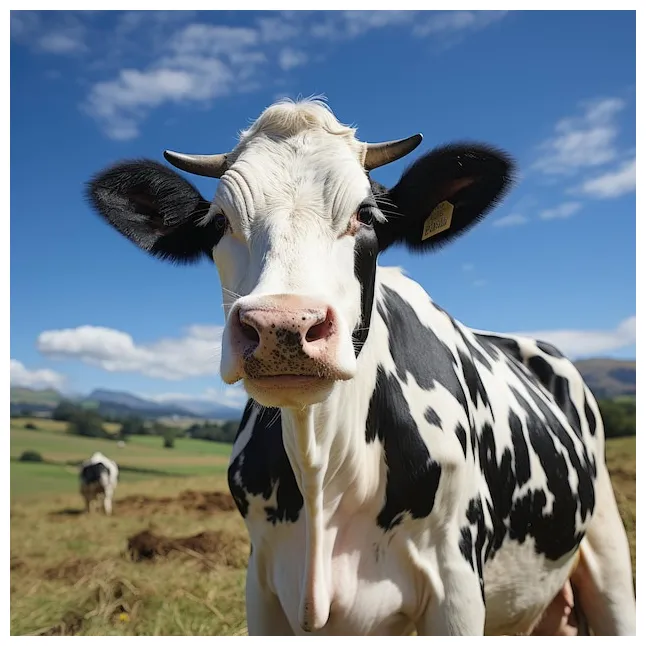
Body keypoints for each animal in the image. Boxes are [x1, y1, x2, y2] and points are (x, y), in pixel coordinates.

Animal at [86, 98, 635, 636]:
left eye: (366, 214)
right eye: (219, 222)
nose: (283, 325)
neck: (320, 468)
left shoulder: (456, 586)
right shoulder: (262, 588)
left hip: (609, 552)